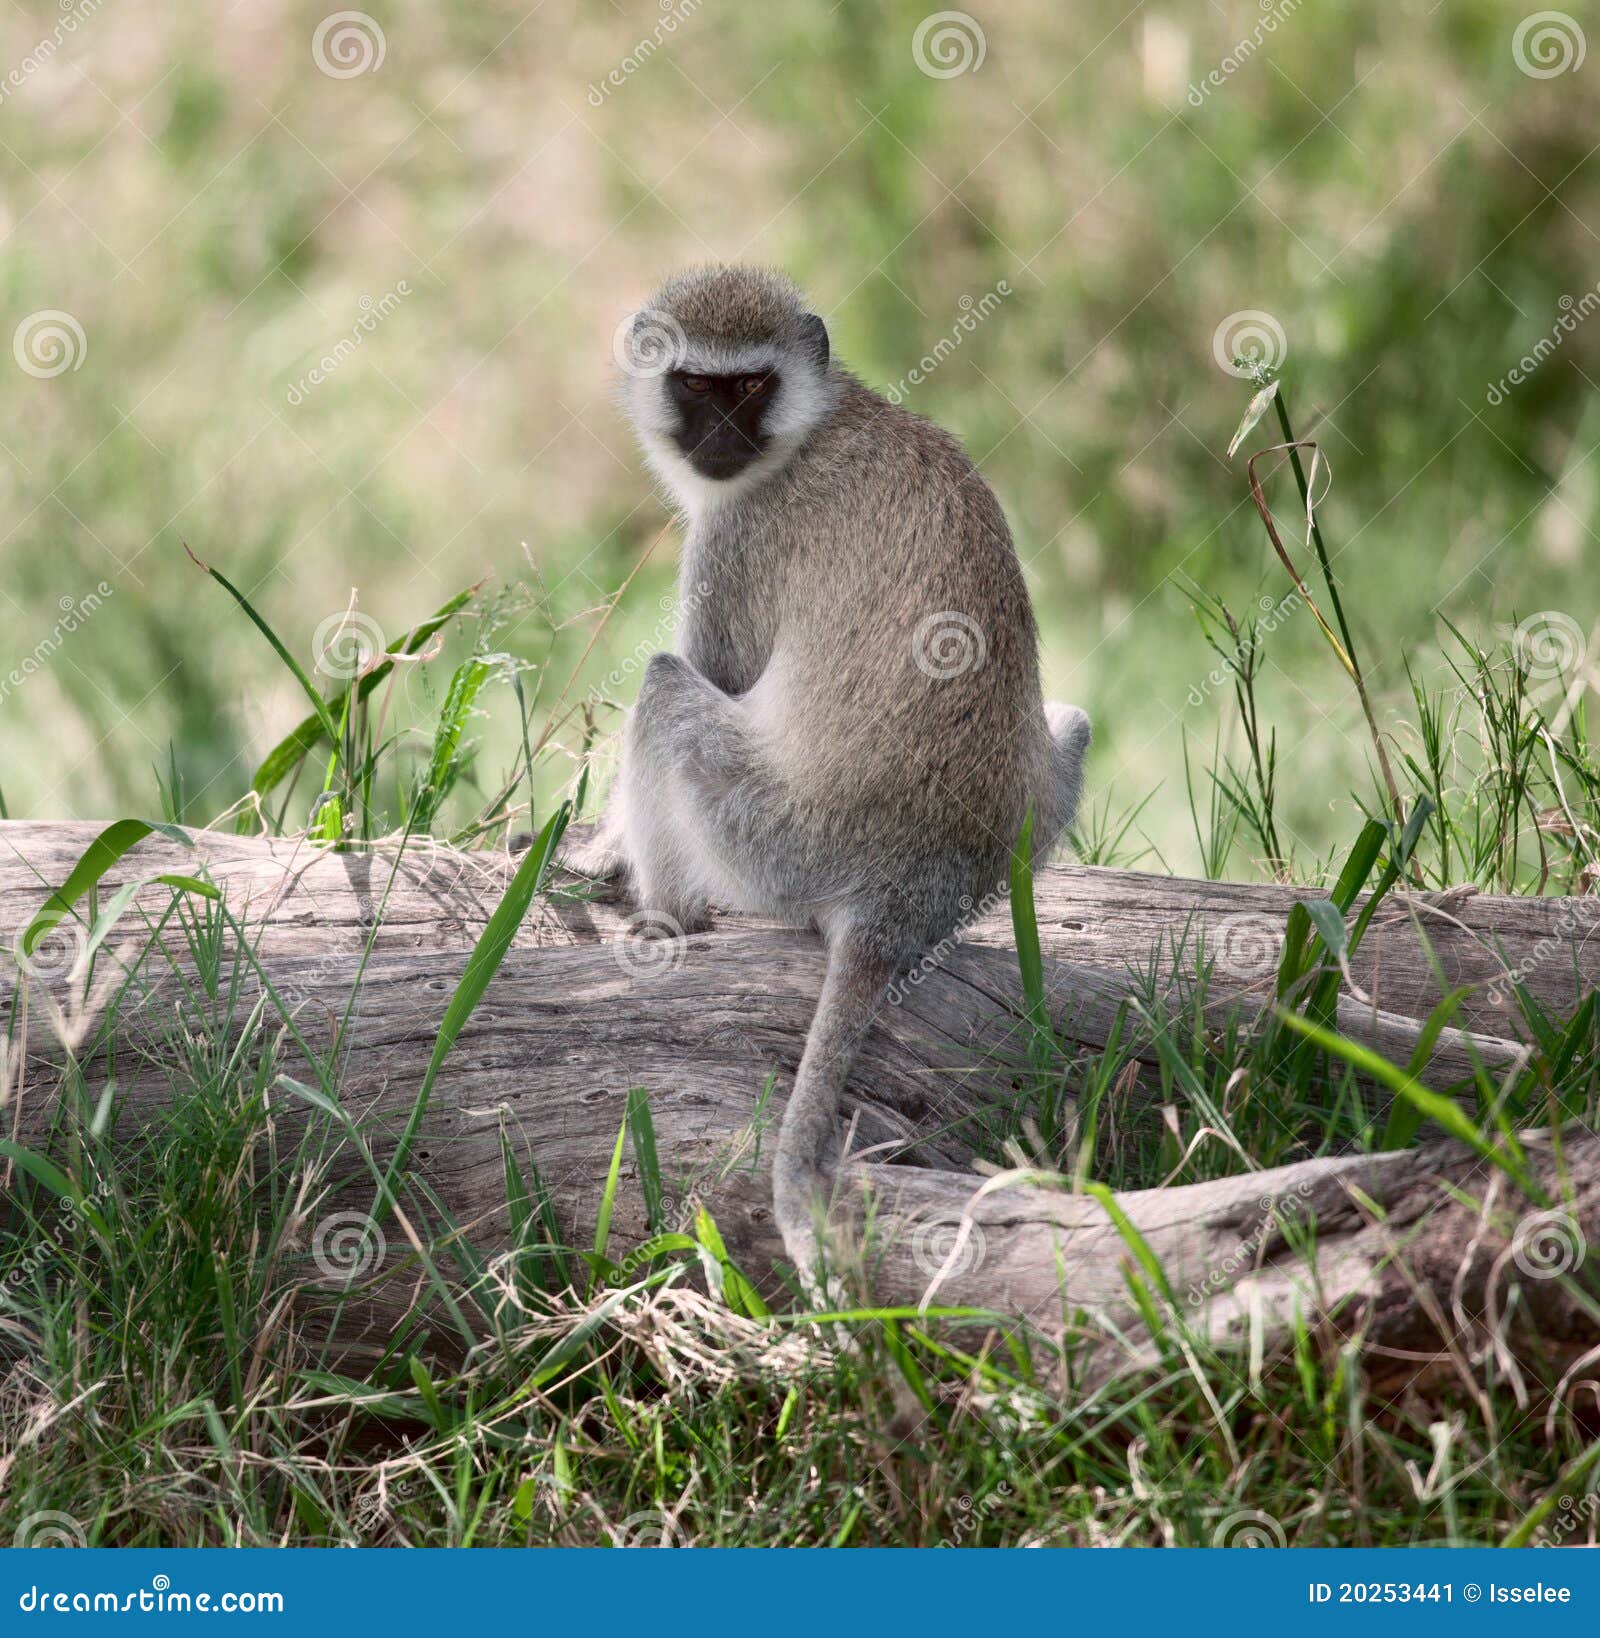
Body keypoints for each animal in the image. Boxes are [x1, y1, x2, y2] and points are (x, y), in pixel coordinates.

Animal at [567, 264, 1091, 1290]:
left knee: (667, 691)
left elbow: (711, 670)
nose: (721, 438)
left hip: (773, 840)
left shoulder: (735, 538)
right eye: (697, 385)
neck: (817, 420)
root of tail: (905, 894)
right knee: (1072, 725)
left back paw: (665, 915)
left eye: (748, 387)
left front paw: (596, 853)